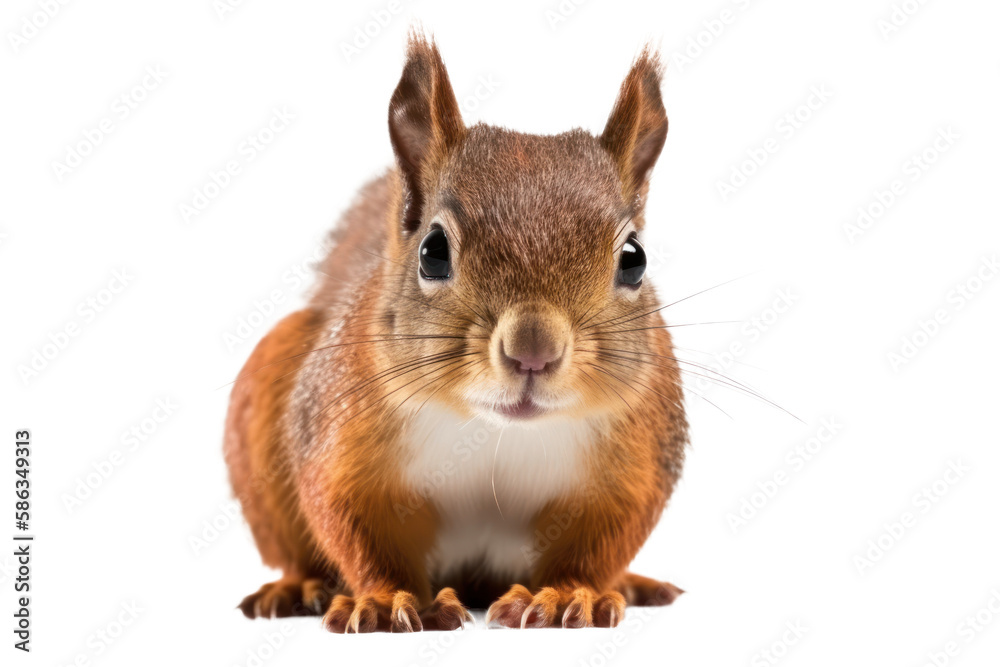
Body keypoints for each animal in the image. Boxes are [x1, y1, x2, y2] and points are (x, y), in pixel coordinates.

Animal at [224, 32, 687, 633]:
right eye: (433, 251)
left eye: (634, 259)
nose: (533, 352)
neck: (494, 432)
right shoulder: (337, 432)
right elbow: (353, 523)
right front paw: (386, 600)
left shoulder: (638, 454)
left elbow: (600, 541)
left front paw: (570, 595)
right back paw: (297, 586)